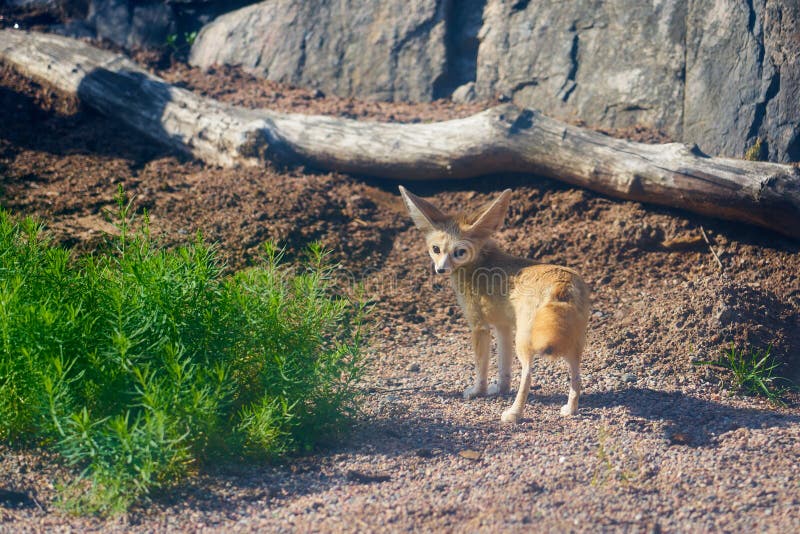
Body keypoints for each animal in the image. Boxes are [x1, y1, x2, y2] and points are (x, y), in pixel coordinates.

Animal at [399, 186, 590, 423]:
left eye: (460, 252)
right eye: (436, 249)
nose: (441, 269)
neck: (479, 264)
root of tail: (562, 282)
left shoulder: (479, 326)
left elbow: (481, 367)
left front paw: (477, 392)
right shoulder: (503, 326)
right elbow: (503, 367)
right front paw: (500, 389)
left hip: (525, 343)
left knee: (528, 376)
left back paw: (514, 414)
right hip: (572, 344)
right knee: (577, 377)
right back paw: (571, 409)